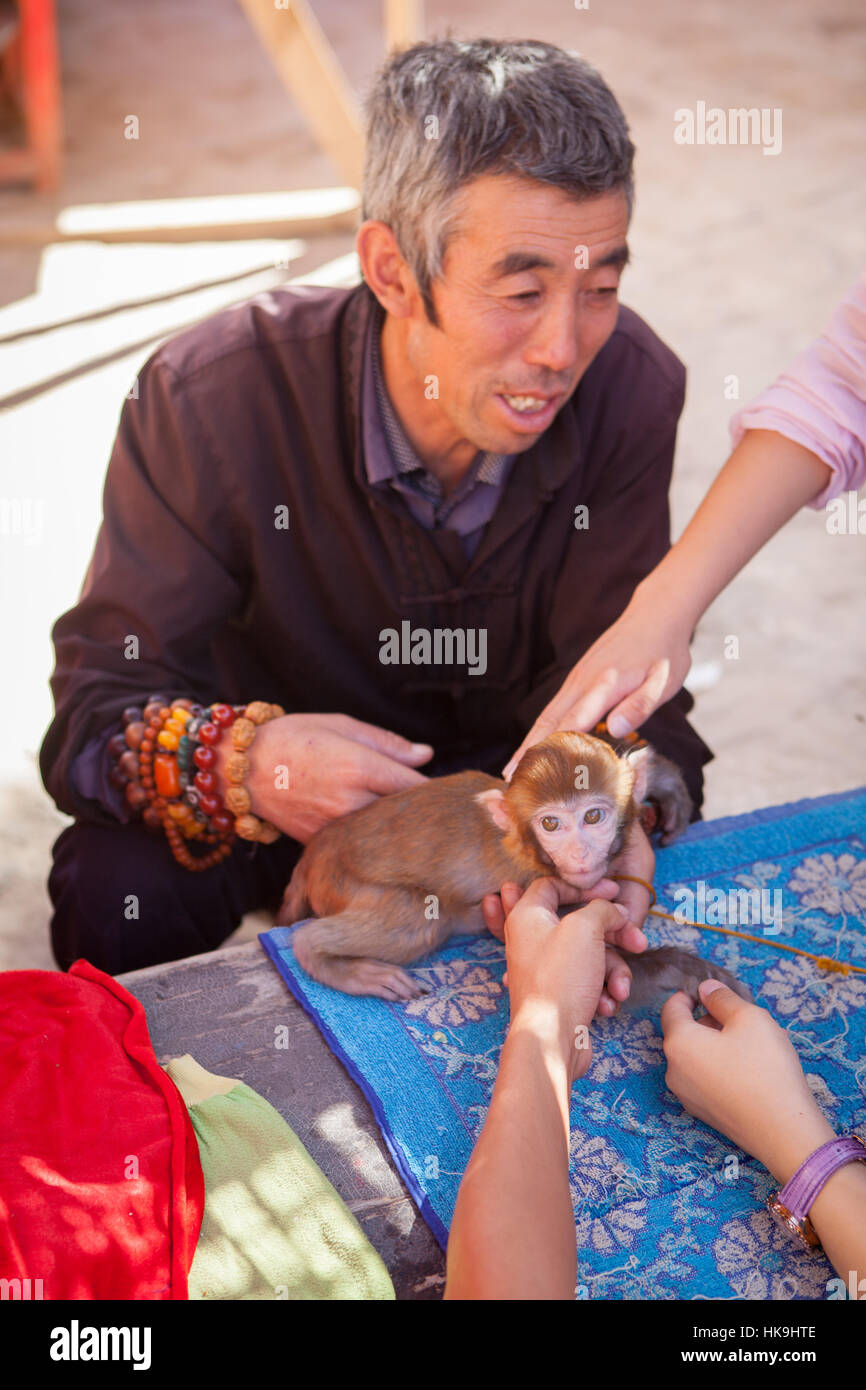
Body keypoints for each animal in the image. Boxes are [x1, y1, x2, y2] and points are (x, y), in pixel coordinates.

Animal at [277, 728, 751, 1008]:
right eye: (551, 824)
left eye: (593, 817)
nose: (580, 854)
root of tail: (318, 847)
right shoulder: (533, 884)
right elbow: (607, 971)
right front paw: (688, 970)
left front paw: (662, 781)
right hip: (342, 881)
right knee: (419, 917)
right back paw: (323, 955)